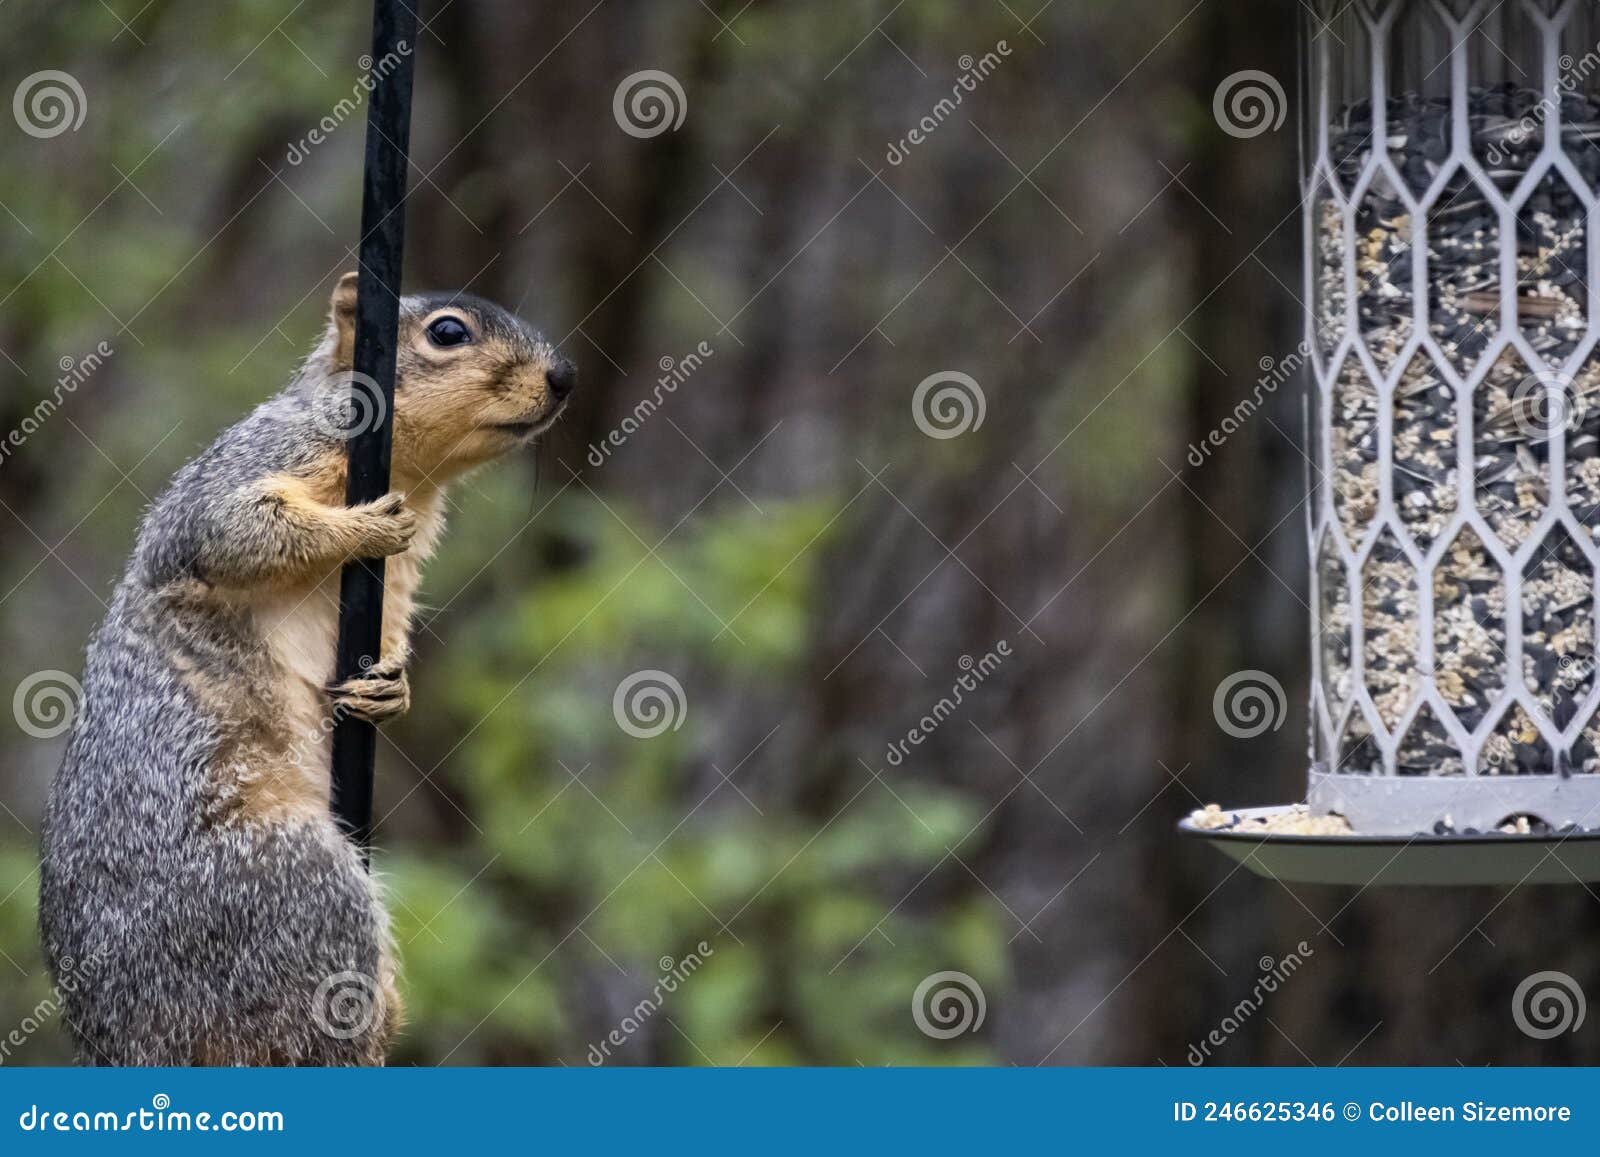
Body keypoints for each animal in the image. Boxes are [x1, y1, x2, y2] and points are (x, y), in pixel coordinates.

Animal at [38, 272, 575, 1065]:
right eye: (448, 333)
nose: (563, 377)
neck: (414, 476)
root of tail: (137, 1045)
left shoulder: (400, 578)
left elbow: (387, 630)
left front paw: (392, 686)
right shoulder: (255, 464)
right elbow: (233, 530)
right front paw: (358, 526)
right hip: (289, 884)